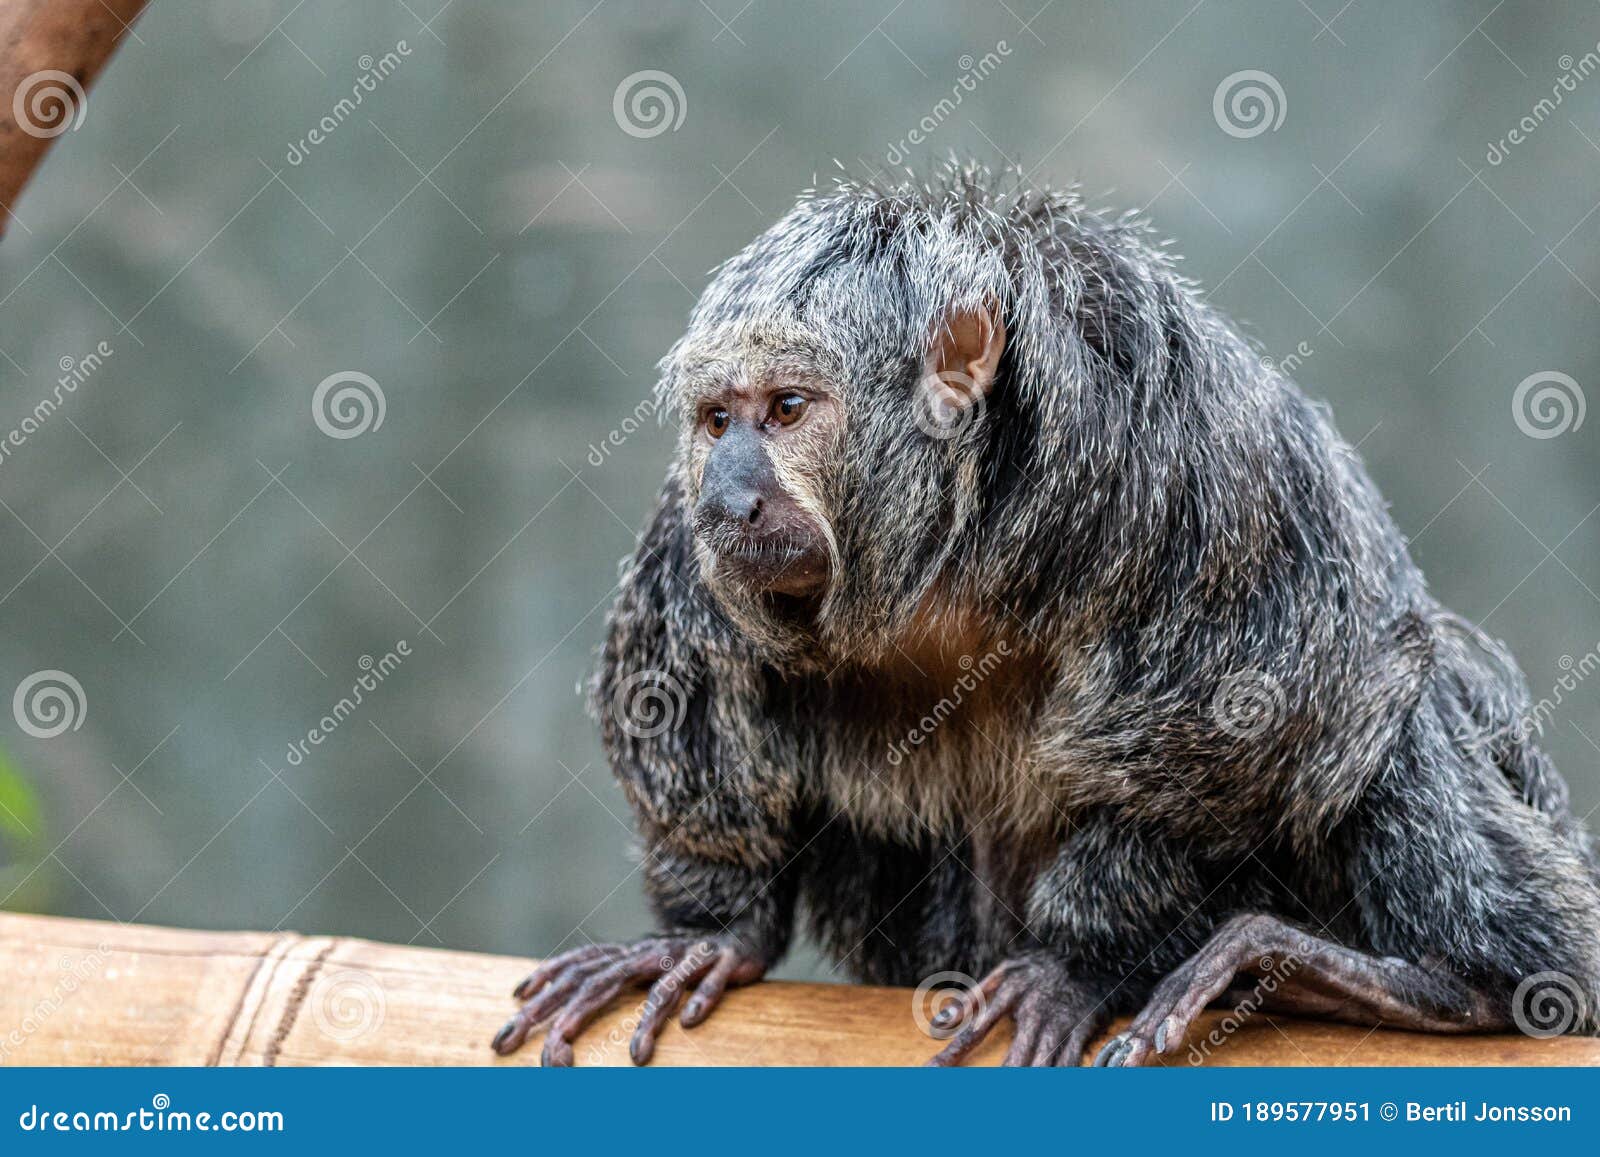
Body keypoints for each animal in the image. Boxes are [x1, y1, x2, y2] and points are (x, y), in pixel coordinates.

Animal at [491, 163, 1600, 1067]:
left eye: (788, 409)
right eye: (719, 419)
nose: (729, 496)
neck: (955, 527)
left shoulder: (1191, 453)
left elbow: (1231, 725)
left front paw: (1081, 959)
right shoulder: (692, 541)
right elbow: (686, 696)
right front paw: (713, 928)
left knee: (1389, 685)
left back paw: (1452, 984)